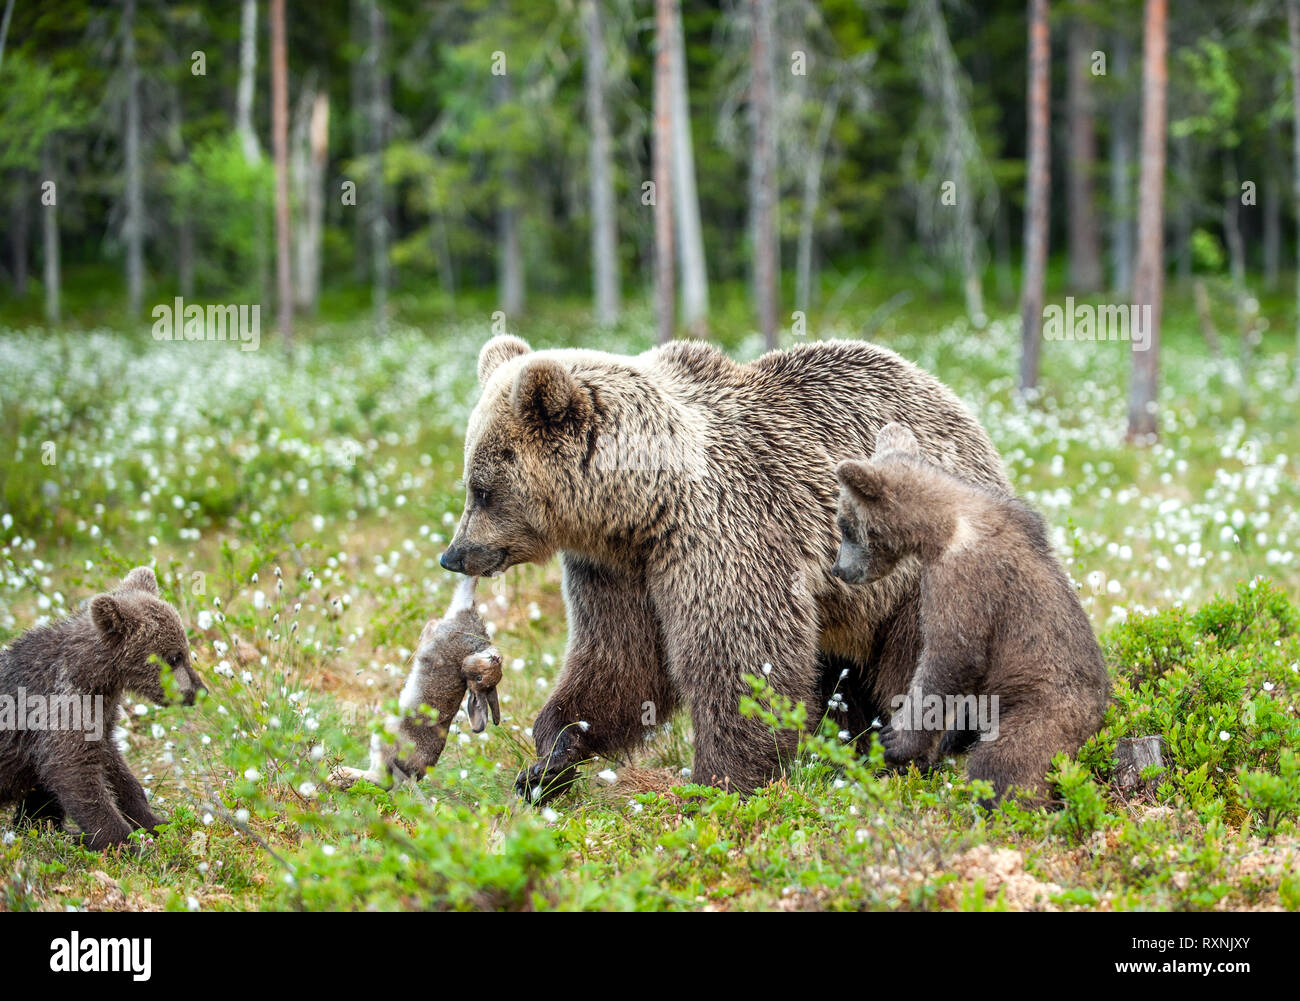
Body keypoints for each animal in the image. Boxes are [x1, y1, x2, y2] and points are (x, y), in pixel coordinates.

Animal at [0, 566, 206, 850]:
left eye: (185, 650)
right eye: (174, 657)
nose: (199, 690)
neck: (93, 678)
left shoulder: (102, 716)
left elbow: (117, 770)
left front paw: (155, 822)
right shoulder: (59, 708)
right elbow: (77, 775)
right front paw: (125, 844)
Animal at [331, 575, 503, 788]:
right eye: (480, 678)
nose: (496, 658)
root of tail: (413, 773)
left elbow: (432, 626)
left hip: (385, 737)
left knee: (381, 779)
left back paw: (339, 775)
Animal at [440, 334, 1011, 803]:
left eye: (482, 490)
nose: (454, 555)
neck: (644, 507)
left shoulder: (725, 536)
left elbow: (739, 660)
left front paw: (721, 780)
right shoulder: (618, 569)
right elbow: (618, 659)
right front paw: (549, 759)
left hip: (915, 575)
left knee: (916, 661)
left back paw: (910, 752)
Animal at [832, 423, 1110, 802]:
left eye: (844, 525)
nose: (838, 569)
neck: (943, 526)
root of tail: (1098, 719)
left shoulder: (965, 579)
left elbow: (950, 656)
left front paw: (896, 740)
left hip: (1046, 708)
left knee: (1005, 760)